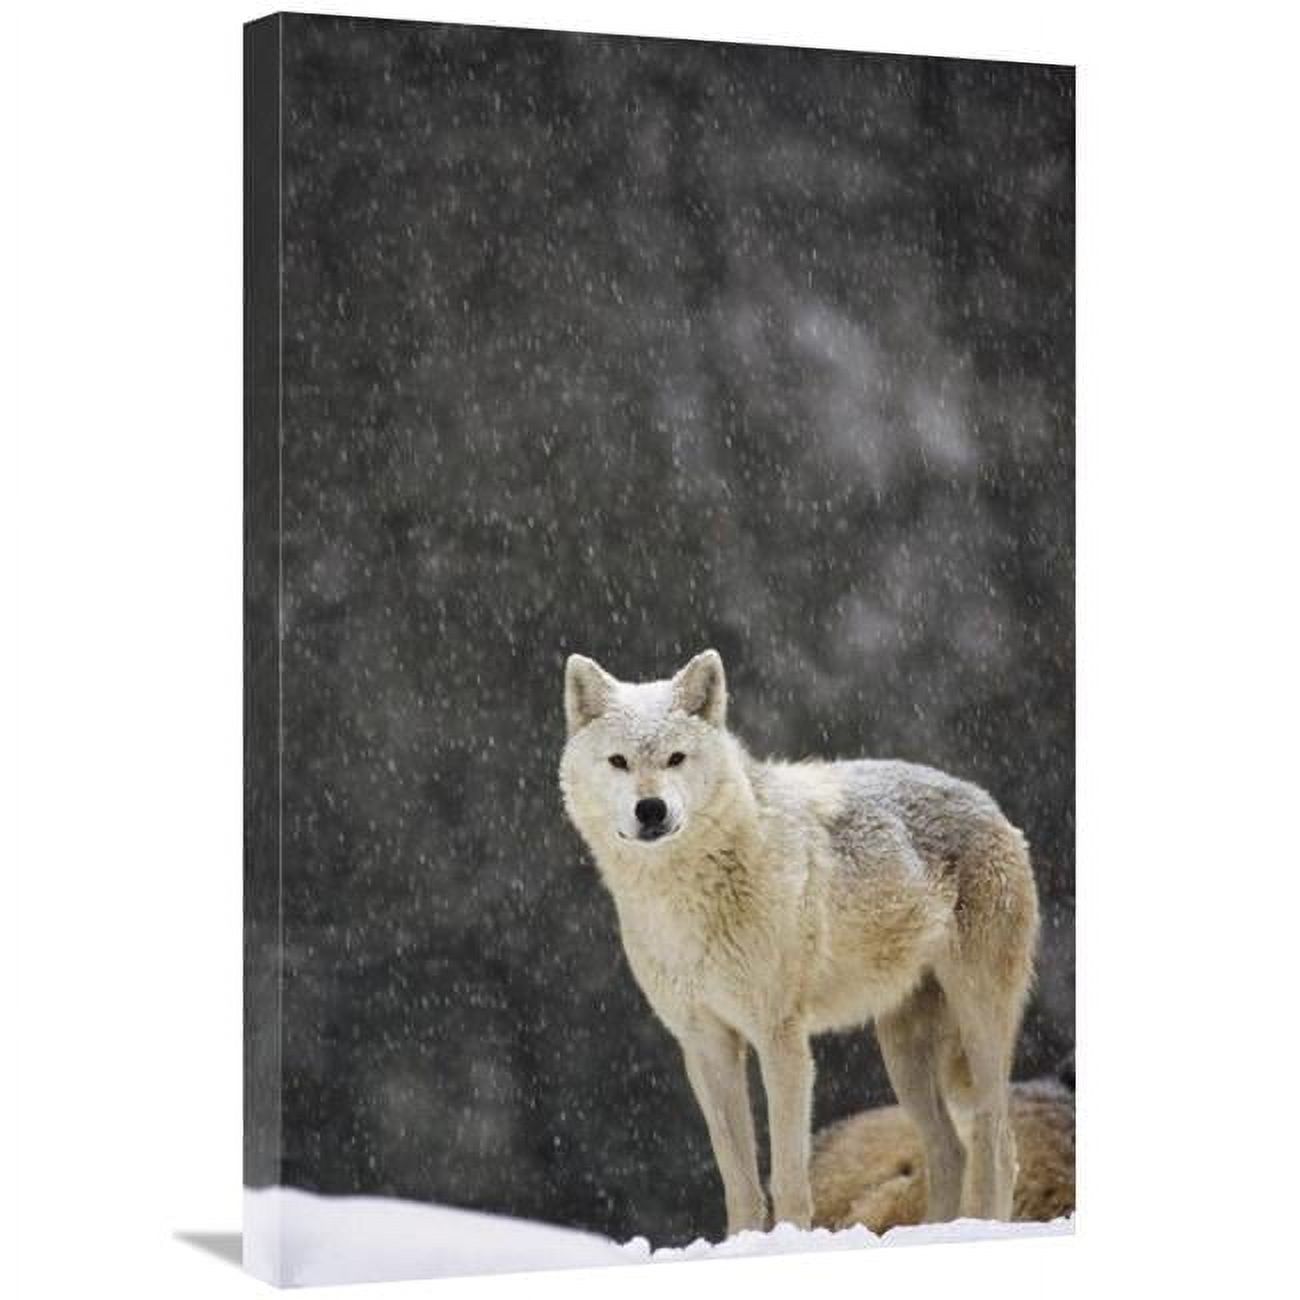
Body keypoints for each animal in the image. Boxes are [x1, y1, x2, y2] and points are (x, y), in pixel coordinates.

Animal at [558, 650, 1039, 1237]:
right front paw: (742, 1242)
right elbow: (739, 1180)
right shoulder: (705, 1043)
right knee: (949, 1150)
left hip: (979, 1022)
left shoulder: (780, 1038)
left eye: (675, 758)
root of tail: (989, 803)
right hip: (903, 1049)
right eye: (619, 762)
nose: (651, 809)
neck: (684, 898)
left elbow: (786, 1177)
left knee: (999, 1146)